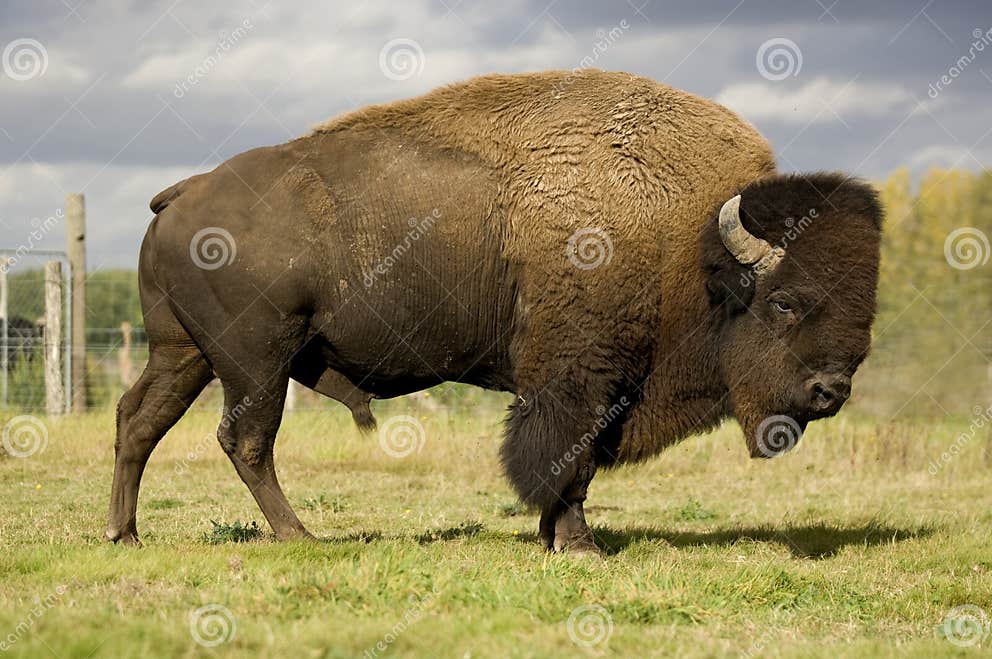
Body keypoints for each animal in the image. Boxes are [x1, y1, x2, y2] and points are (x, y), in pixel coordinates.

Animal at [105, 70, 882, 554]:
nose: (830, 391)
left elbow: (577, 466)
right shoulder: (578, 381)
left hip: (183, 352)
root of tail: (185, 192)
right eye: (784, 301)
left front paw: (557, 539)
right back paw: (298, 536)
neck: (686, 239)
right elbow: (564, 460)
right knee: (246, 441)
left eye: (865, 306)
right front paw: (579, 546)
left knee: (139, 420)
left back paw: (125, 533)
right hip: (254, 360)